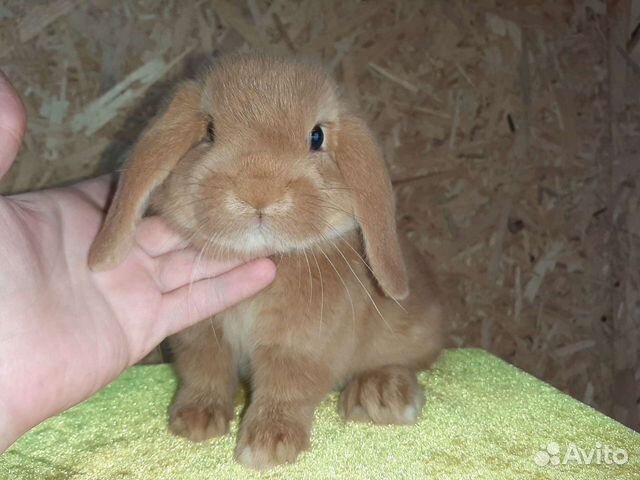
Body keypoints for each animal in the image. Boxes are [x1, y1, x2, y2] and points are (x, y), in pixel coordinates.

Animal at [89, 54, 445, 470]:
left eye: (316, 137)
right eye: (209, 131)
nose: (259, 190)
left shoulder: (301, 346)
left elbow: (287, 386)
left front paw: (267, 447)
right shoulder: (200, 335)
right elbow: (205, 371)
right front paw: (194, 422)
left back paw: (381, 394)